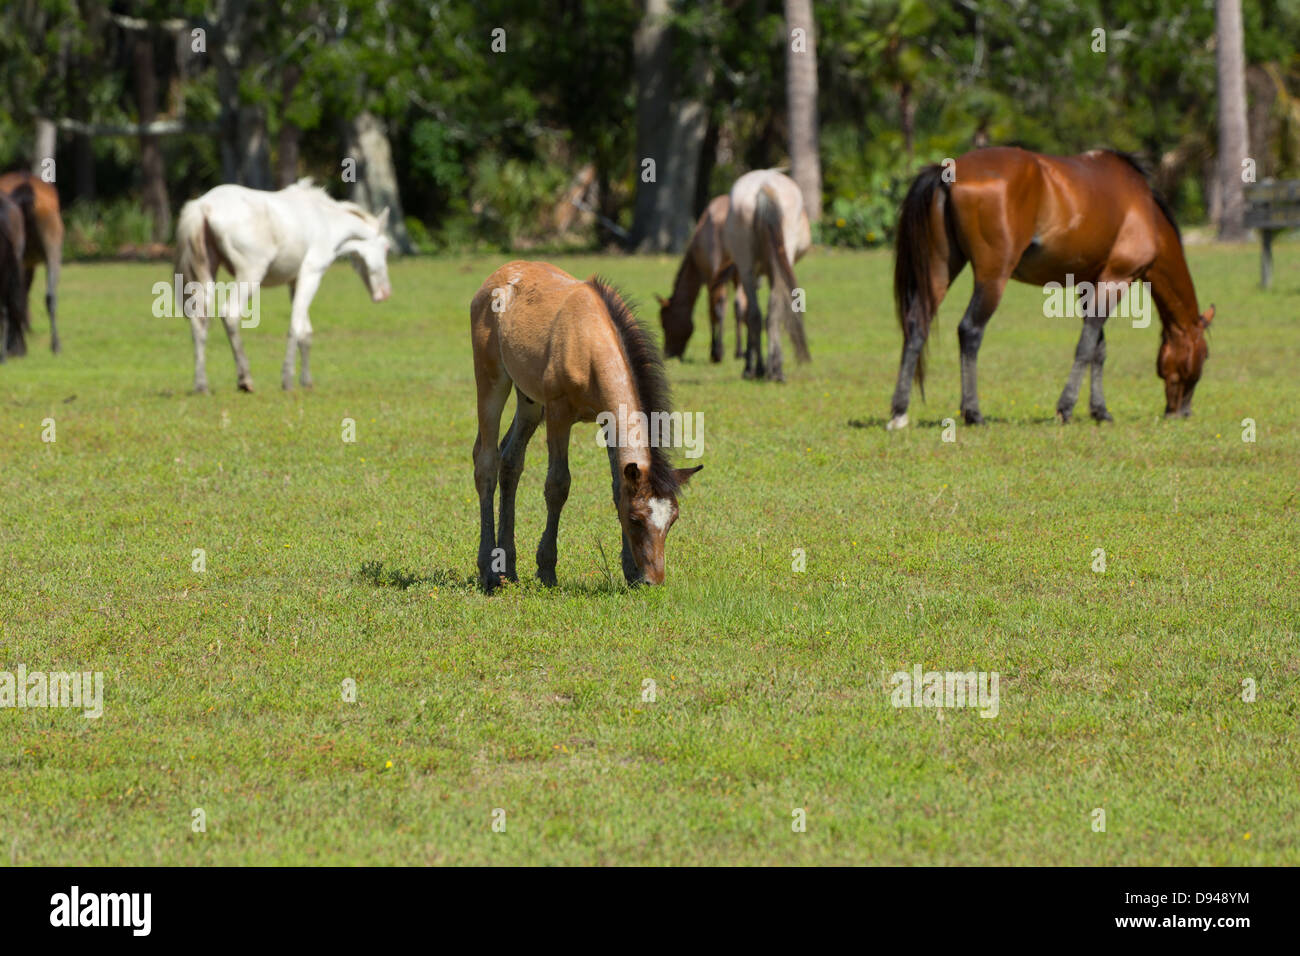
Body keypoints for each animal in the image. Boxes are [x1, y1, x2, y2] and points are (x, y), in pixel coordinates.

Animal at [174, 179, 392, 393]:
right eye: (387, 247)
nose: (385, 293)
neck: (327, 222)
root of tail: (204, 206)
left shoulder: (294, 281)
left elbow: (306, 333)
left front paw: (306, 380)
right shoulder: (311, 274)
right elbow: (295, 326)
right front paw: (287, 379)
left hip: (206, 274)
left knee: (199, 321)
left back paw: (201, 385)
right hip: (250, 273)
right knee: (230, 313)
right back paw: (245, 379)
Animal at [470, 261, 702, 591]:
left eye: (673, 520)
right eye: (635, 519)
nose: (653, 581)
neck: (590, 341)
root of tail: (498, 276)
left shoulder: (609, 421)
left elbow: (618, 486)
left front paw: (630, 571)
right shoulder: (558, 413)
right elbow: (557, 484)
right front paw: (547, 569)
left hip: (529, 399)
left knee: (510, 459)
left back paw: (508, 569)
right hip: (492, 379)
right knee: (486, 461)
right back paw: (488, 571)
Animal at [657, 194, 748, 362]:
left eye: (665, 323)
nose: (668, 353)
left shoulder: (708, 276)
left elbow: (712, 310)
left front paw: (715, 351)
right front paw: (738, 351)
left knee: (717, 308)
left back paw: (718, 352)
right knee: (738, 304)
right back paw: (738, 351)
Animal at [723, 169, 812, 381]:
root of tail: (764, 184)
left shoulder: (755, 274)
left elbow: (750, 312)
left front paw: (753, 365)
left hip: (746, 266)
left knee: (756, 313)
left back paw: (761, 368)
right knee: (770, 312)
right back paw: (773, 369)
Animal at [889, 147, 1213, 429]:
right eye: (1205, 355)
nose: (1182, 412)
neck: (1144, 211)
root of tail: (946, 171)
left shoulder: (1088, 285)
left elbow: (1099, 349)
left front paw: (1100, 411)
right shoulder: (1116, 280)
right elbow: (1086, 346)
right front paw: (1066, 408)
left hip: (939, 270)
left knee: (917, 326)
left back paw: (899, 413)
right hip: (992, 278)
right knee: (970, 331)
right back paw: (974, 413)